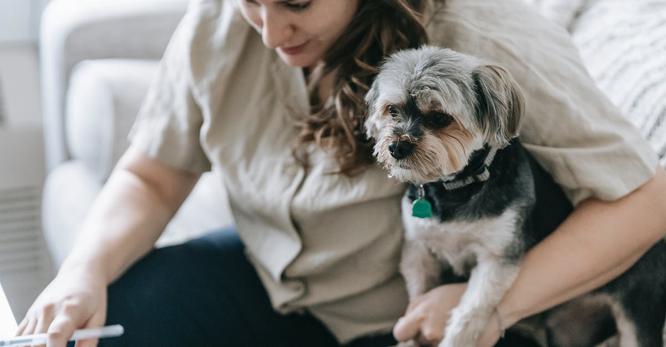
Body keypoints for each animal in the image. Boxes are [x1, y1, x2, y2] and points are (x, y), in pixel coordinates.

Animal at [364, 47, 664, 347]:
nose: (396, 147)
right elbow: (417, 300)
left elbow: (468, 316)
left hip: (638, 308)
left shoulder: (497, 257)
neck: (456, 187)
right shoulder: (419, 251)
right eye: (392, 110)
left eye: (440, 118)